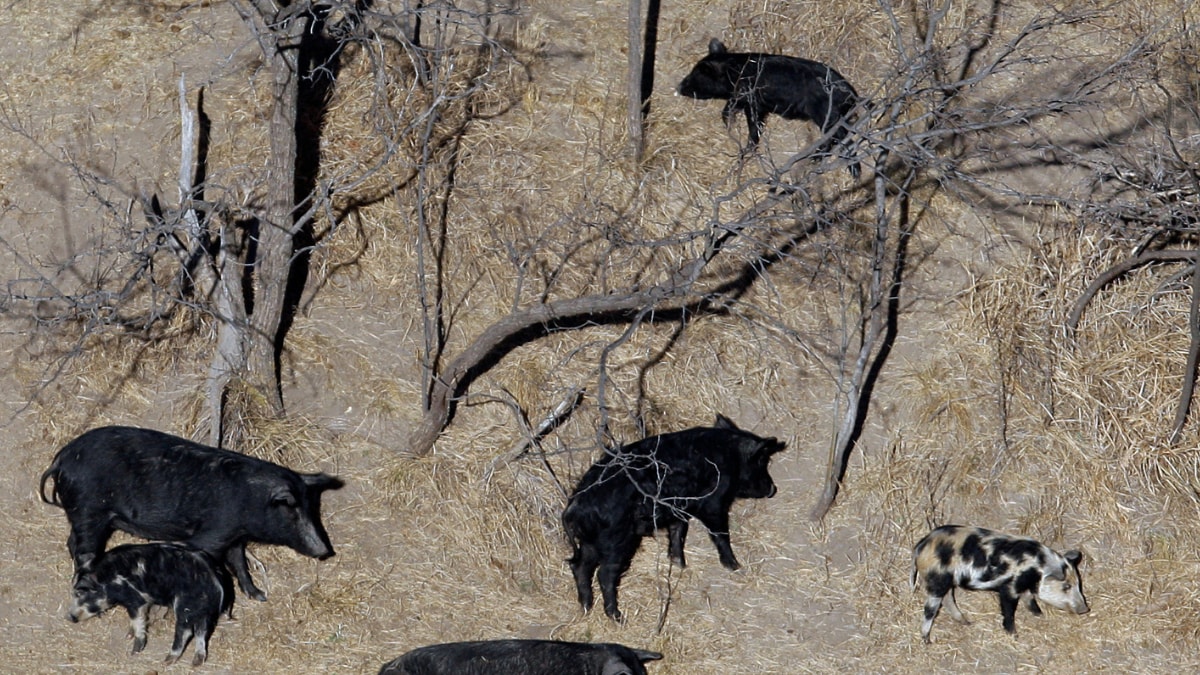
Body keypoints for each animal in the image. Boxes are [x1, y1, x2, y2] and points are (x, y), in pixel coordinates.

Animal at [40, 425, 343, 601]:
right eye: (292, 511)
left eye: (312, 508)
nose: (324, 551)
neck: (250, 501)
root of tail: (61, 459)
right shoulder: (212, 535)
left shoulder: (234, 537)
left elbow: (240, 564)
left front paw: (259, 596)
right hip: (89, 511)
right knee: (84, 550)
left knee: (72, 542)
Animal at [67, 542, 234, 666]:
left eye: (81, 594)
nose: (70, 617)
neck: (110, 579)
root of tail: (215, 582)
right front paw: (128, 636)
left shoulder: (135, 600)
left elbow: (138, 621)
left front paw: (133, 652)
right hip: (203, 611)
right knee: (202, 632)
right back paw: (196, 662)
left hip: (184, 607)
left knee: (185, 632)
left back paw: (166, 661)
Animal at [562, 414, 786, 620]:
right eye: (762, 461)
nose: (773, 489)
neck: (730, 457)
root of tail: (576, 505)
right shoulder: (713, 504)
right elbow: (720, 534)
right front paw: (735, 566)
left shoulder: (679, 509)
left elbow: (678, 531)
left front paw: (680, 565)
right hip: (616, 540)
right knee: (604, 573)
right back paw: (618, 617)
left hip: (592, 541)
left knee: (579, 565)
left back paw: (586, 608)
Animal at [678, 38, 862, 178]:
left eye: (696, 75)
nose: (679, 87)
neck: (735, 72)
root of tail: (850, 93)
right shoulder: (744, 100)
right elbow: (731, 108)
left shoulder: (751, 102)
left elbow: (749, 125)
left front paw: (741, 147)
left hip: (826, 115)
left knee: (842, 137)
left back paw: (853, 172)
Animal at [911, 525, 1090, 643]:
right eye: (1066, 586)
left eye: (1079, 583)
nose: (1085, 609)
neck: (1036, 567)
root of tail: (921, 545)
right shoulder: (1009, 587)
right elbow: (1008, 611)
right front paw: (1014, 636)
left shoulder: (1023, 587)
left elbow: (1030, 600)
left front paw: (1039, 614)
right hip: (937, 580)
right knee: (930, 609)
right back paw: (927, 641)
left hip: (947, 581)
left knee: (948, 599)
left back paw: (967, 622)